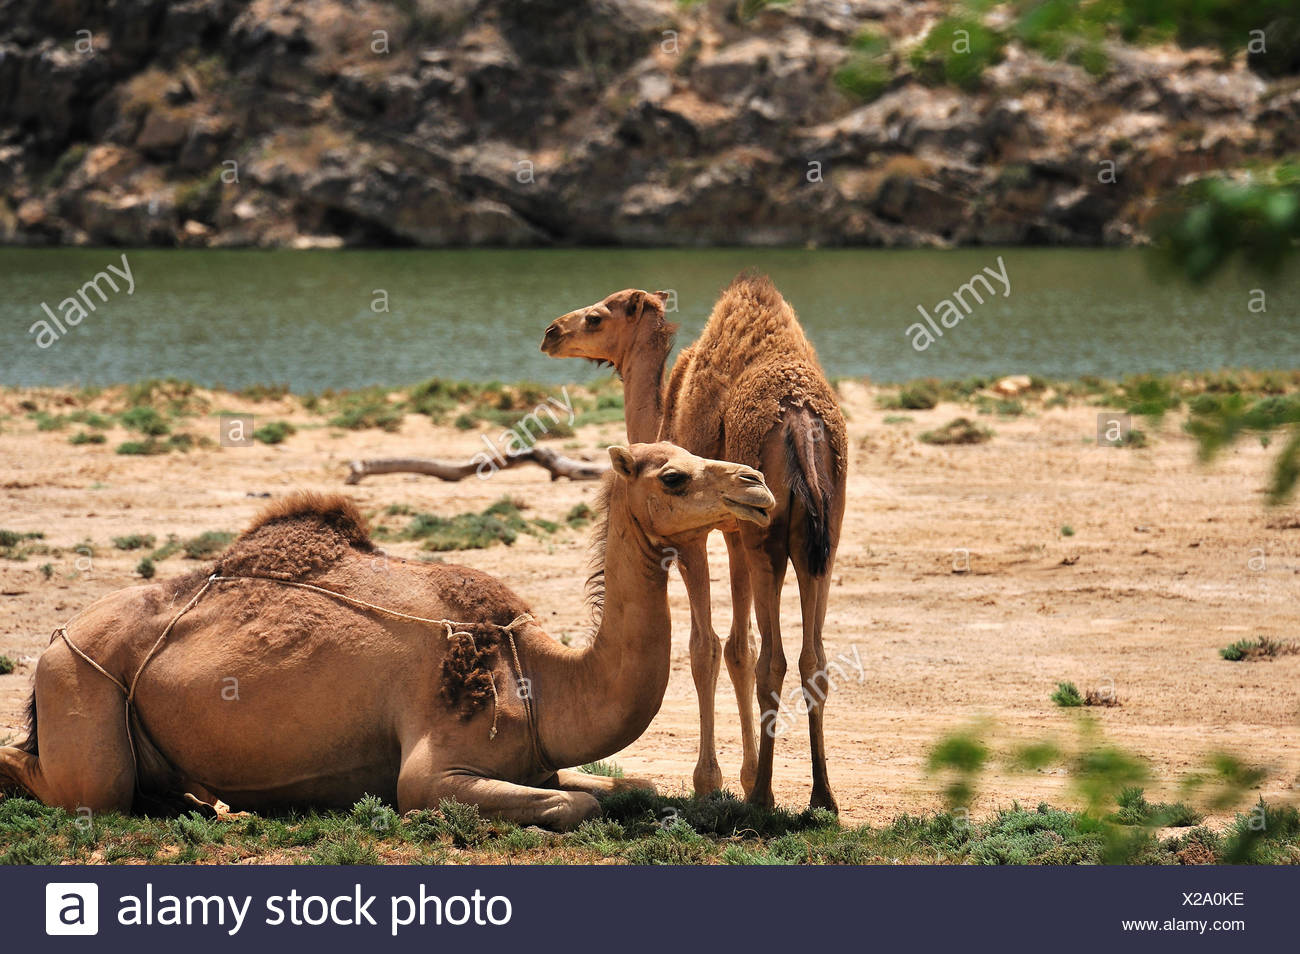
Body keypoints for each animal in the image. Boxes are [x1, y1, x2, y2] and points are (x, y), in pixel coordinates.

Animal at [0, 443, 774, 830]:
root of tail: (55, 641)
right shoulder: (433, 768)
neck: (537, 670)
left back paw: (195, 801)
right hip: (80, 683)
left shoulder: (536, 763)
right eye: (674, 477)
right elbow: (578, 804)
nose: (758, 486)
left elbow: (619, 786)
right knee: (71, 781)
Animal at [541, 273, 847, 812]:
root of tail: (802, 423)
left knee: (775, 660)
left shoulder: (693, 535)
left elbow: (705, 648)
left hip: (770, 540)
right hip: (821, 539)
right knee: (813, 658)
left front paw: (712, 782)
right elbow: (738, 648)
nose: (552, 332)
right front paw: (743, 774)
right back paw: (821, 798)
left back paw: (765, 797)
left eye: (596, 316)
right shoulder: (734, 533)